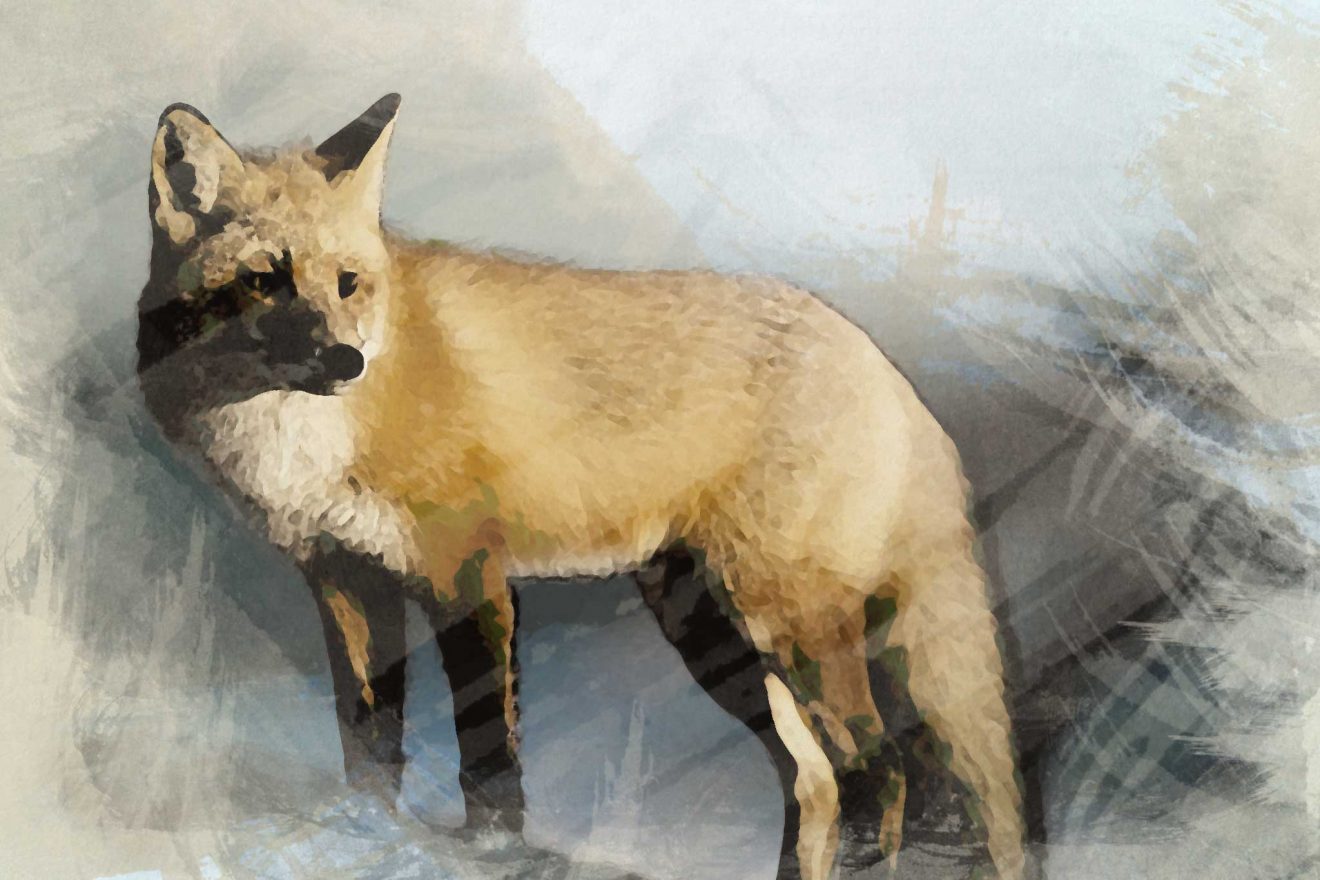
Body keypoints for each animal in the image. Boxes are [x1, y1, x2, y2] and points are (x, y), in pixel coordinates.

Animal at [135, 94, 1026, 880]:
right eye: (265, 281)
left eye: (348, 282)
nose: (346, 361)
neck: (302, 438)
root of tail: (878, 361)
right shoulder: (345, 580)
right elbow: (368, 747)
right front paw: (364, 833)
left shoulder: (468, 576)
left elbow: (488, 758)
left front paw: (489, 854)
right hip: (712, 632)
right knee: (815, 784)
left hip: (786, 622)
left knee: (885, 771)